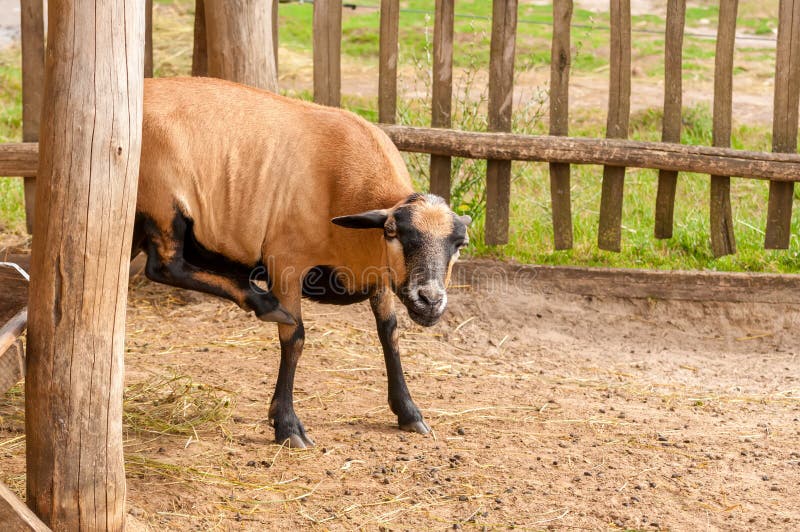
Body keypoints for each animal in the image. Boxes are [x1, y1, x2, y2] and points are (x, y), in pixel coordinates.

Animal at [133, 77, 471, 447]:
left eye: (460, 244)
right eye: (393, 232)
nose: (430, 301)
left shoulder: (379, 275)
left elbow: (390, 334)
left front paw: (409, 413)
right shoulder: (285, 261)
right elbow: (294, 337)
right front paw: (287, 425)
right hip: (161, 200)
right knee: (165, 265)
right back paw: (262, 303)